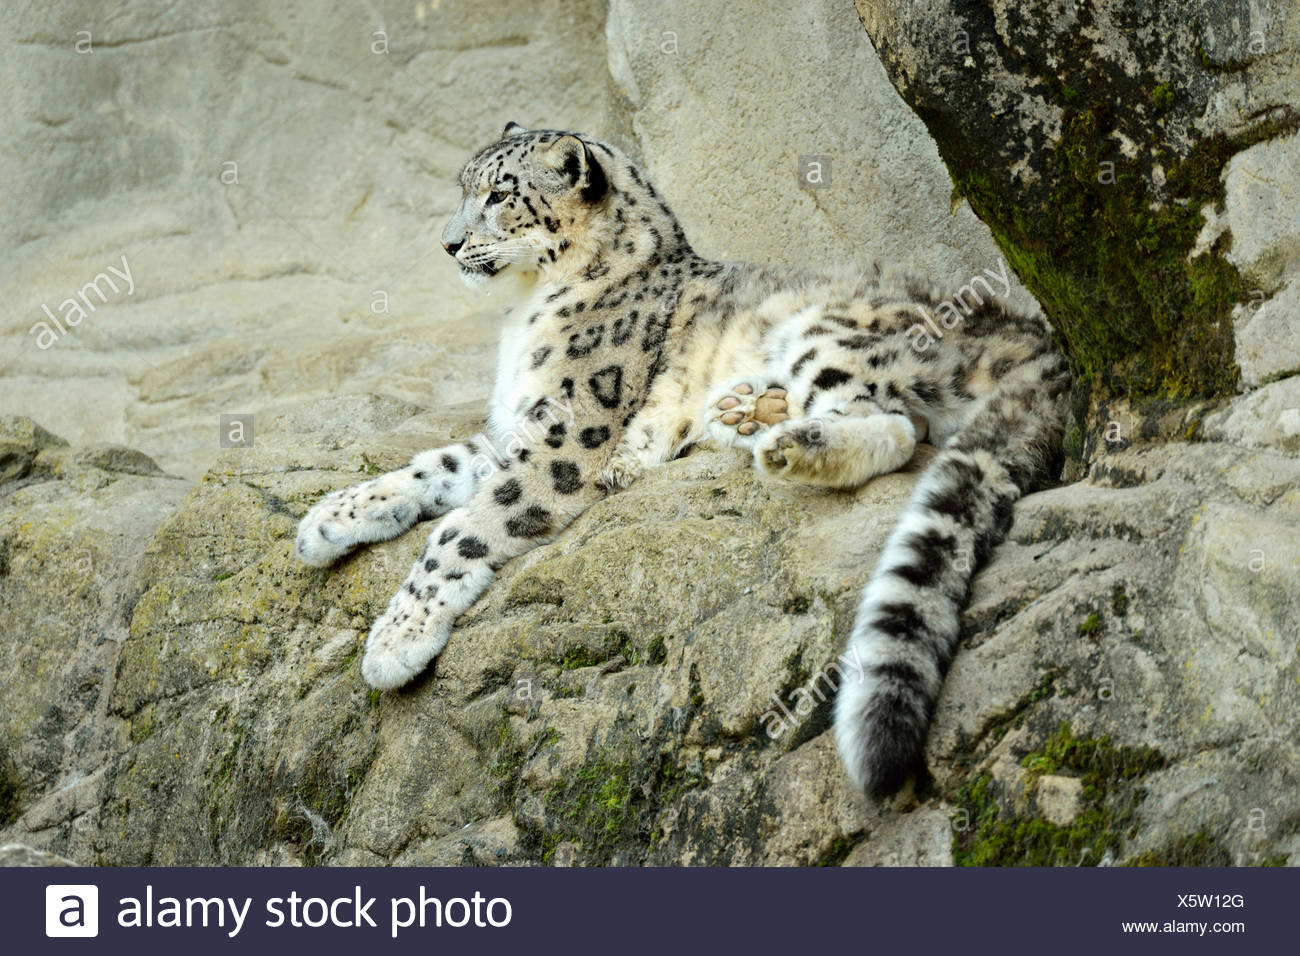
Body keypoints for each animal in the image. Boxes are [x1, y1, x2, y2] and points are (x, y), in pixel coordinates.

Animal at [294, 123, 1070, 799]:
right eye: (464, 189)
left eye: (497, 194)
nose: (449, 243)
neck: (524, 315)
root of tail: (1034, 331)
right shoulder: (513, 430)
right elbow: (433, 466)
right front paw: (329, 519)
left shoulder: (567, 439)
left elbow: (461, 528)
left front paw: (396, 639)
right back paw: (746, 411)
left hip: (827, 333)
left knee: (900, 426)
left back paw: (786, 446)